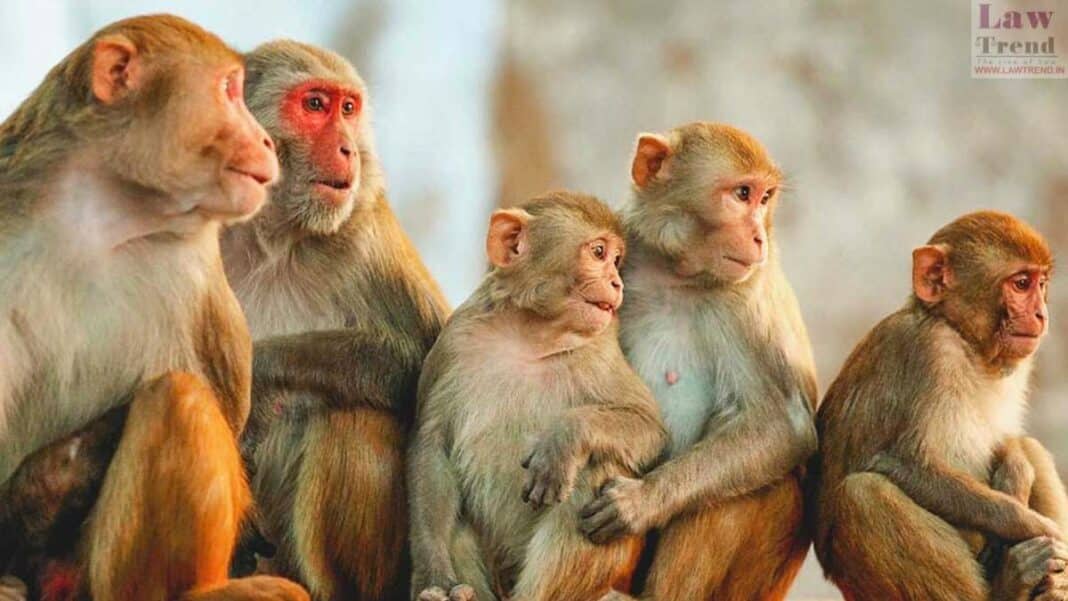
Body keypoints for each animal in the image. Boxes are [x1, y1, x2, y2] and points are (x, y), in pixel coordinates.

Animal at [218, 40, 450, 601]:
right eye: (315, 105)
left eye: (348, 109)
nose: (348, 149)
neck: (272, 237)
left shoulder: (366, 233)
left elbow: (429, 364)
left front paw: (260, 372)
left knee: (353, 418)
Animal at [408, 191, 668, 601]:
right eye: (598, 252)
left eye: (616, 260)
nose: (616, 283)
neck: (530, 337)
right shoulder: (454, 341)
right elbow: (432, 447)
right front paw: (432, 575)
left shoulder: (601, 351)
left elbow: (648, 427)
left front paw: (564, 439)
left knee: (595, 470)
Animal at [576, 122, 818, 601]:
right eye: (742, 193)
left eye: (765, 198)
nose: (760, 237)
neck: (676, 274)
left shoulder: (745, 300)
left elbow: (784, 424)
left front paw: (641, 501)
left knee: (749, 484)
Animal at [812, 210, 1068, 601]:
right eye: (1021, 284)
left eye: (1041, 284)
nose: (1041, 314)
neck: (963, 340)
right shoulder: (932, 352)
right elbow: (905, 463)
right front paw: (1033, 525)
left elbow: (1010, 442)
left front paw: (1015, 472)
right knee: (863, 495)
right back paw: (1011, 584)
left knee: (1033, 447)